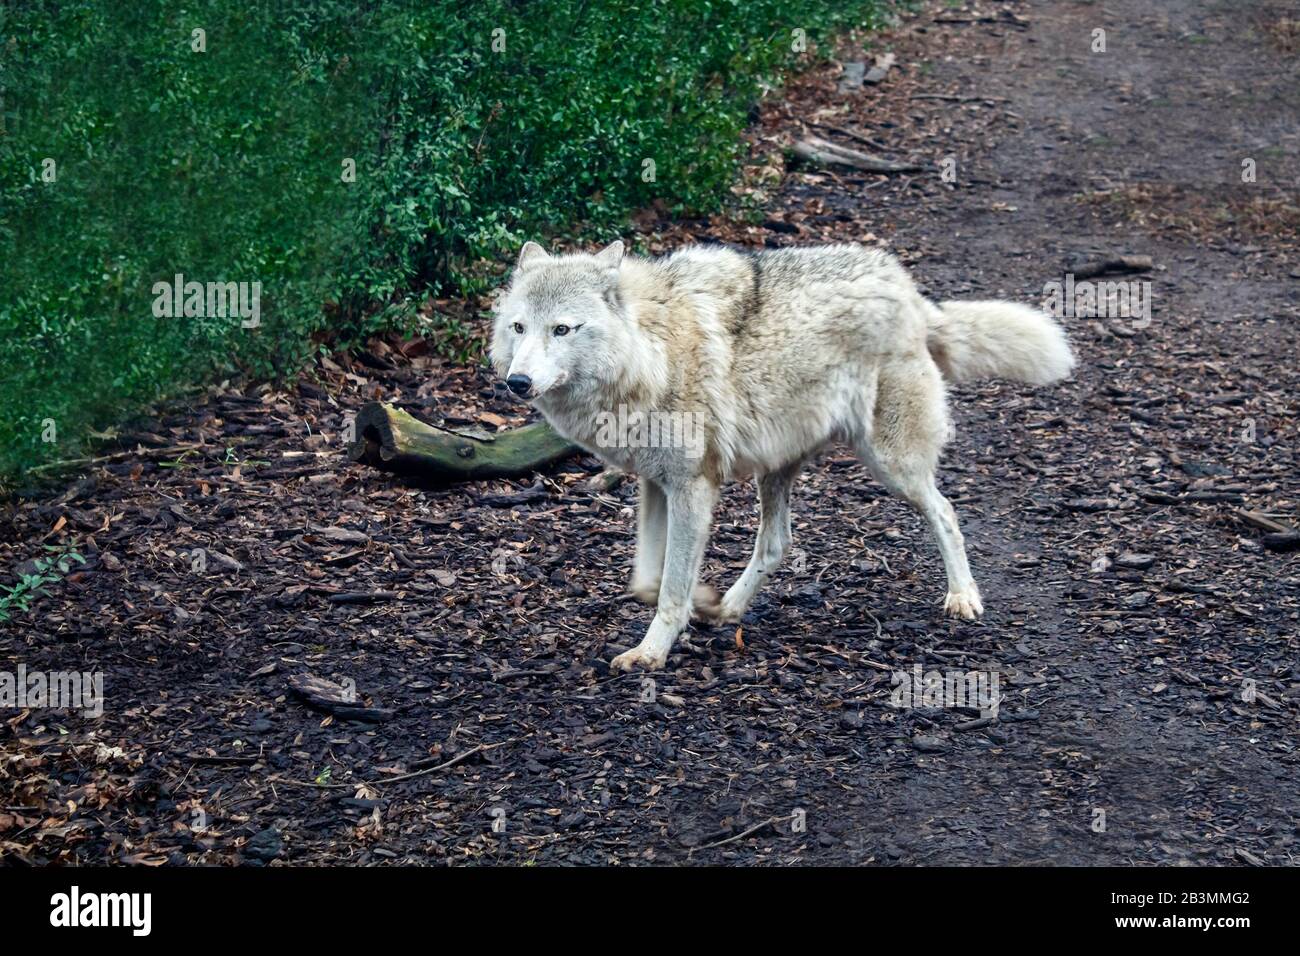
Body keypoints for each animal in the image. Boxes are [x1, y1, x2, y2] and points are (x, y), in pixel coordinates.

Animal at [490, 240, 1075, 672]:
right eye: (519, 327)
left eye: (562, 328)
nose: (517, 382)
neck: (652, 351)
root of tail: (906, 286)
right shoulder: (656, 483)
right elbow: (646, 582)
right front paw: (701, 603)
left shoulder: (692, 487)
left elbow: (670, 588)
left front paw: (652, 653)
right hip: (776, 468)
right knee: (778, 542)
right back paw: (728, 608)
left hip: (891, 464)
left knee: (945, 511)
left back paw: (963, 597)